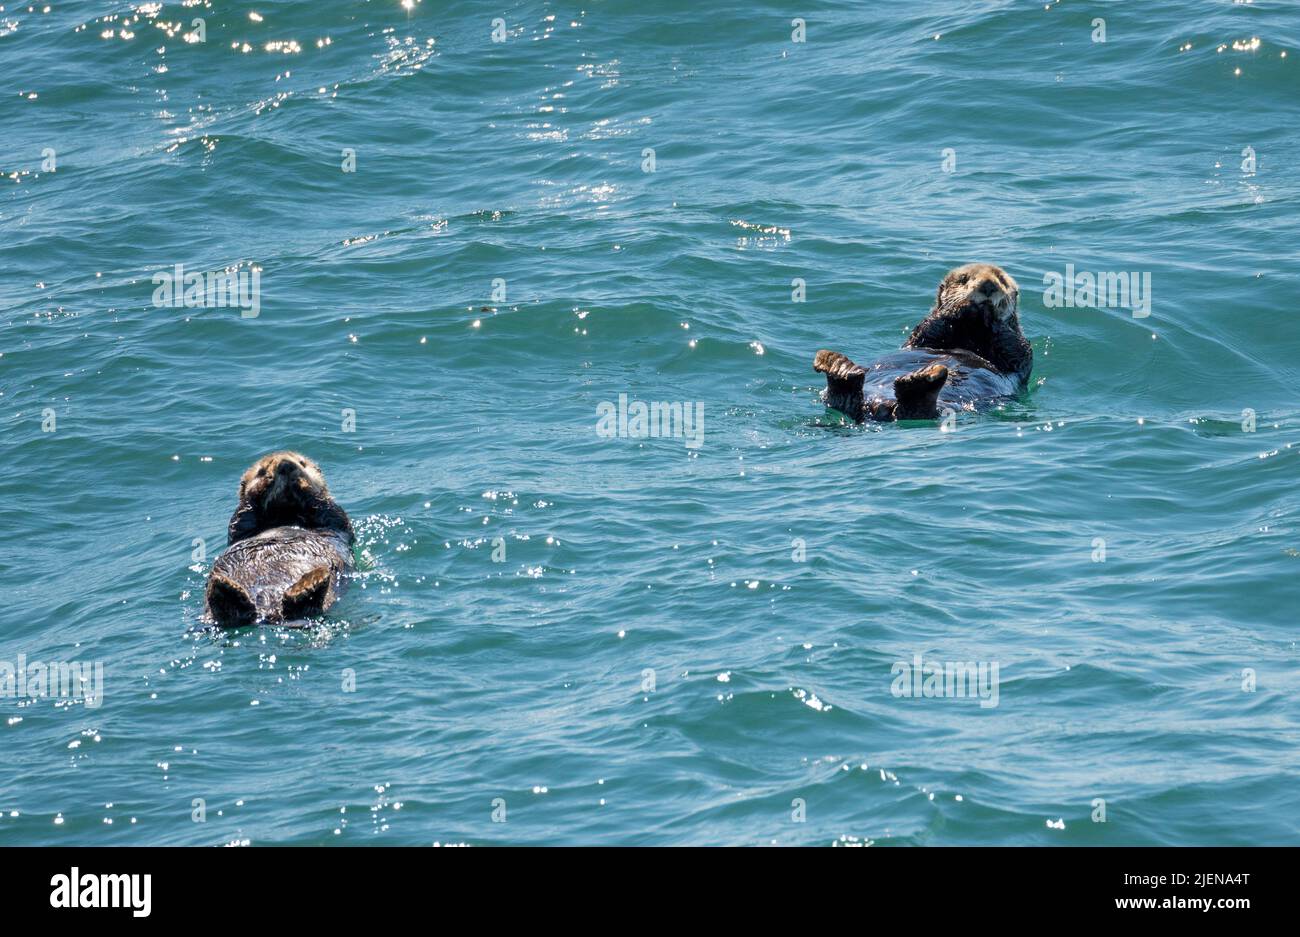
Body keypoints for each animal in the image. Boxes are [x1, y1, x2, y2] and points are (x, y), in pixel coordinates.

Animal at [204, 452, 355, 627]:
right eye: (261, 471)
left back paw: (311, 582)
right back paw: (224, 587)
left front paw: (301, 483)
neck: (287, 515)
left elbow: (327, 508)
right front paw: (263, 485)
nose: (286, 465)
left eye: (302, 463)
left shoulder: (336, 521)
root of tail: (268, 612)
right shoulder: (240, 529)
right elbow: (243, 515)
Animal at [813, 263, 1032, 422]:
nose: (988, 285)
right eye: (963, 280)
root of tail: (878, 409)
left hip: (945, 408)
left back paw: (922, 381)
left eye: (1001, 280)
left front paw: (992, 314)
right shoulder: (922, 338)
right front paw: (959, 306)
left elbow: (1018, 348)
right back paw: (837, 366)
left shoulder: (1018, 354)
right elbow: (929, 328)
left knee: (919, 409)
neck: (971, 331)